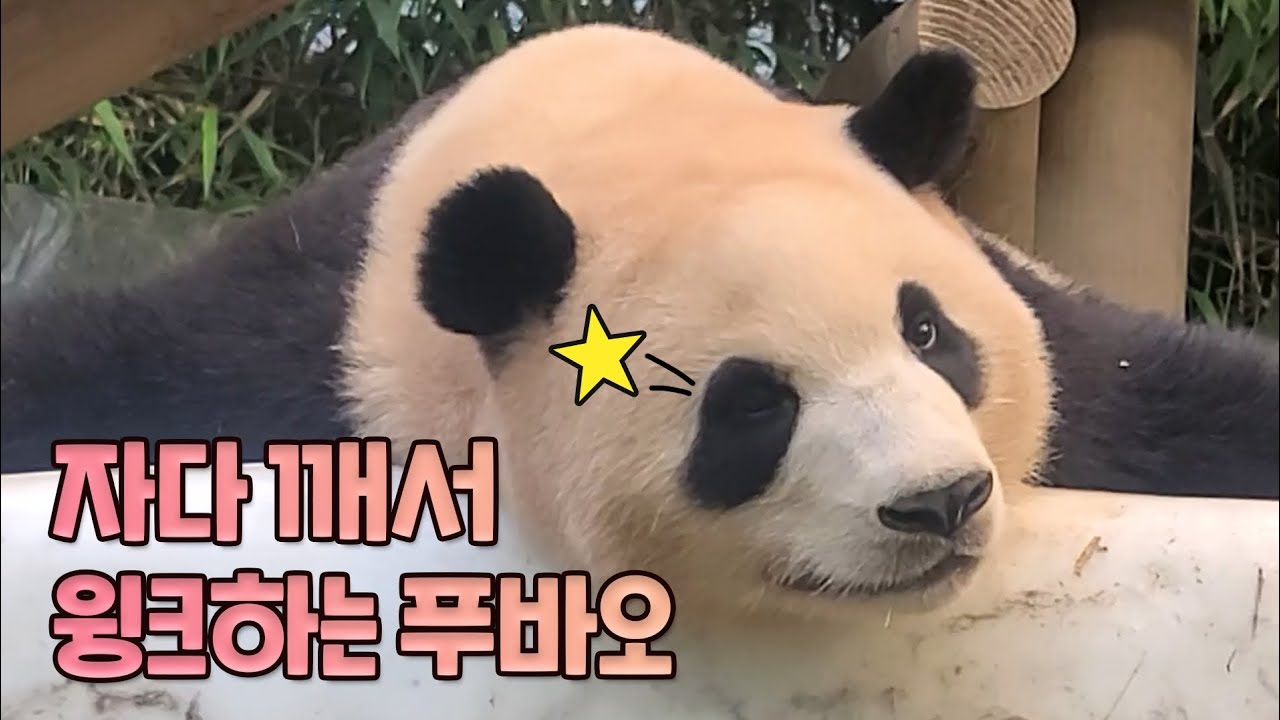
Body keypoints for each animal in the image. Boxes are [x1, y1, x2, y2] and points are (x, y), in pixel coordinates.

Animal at [0, 23, 1275, 506]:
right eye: (751, 403)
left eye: (931, 337)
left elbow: (1183, 396)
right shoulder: (302, 337)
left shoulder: (1061, 359)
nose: (934, 497)